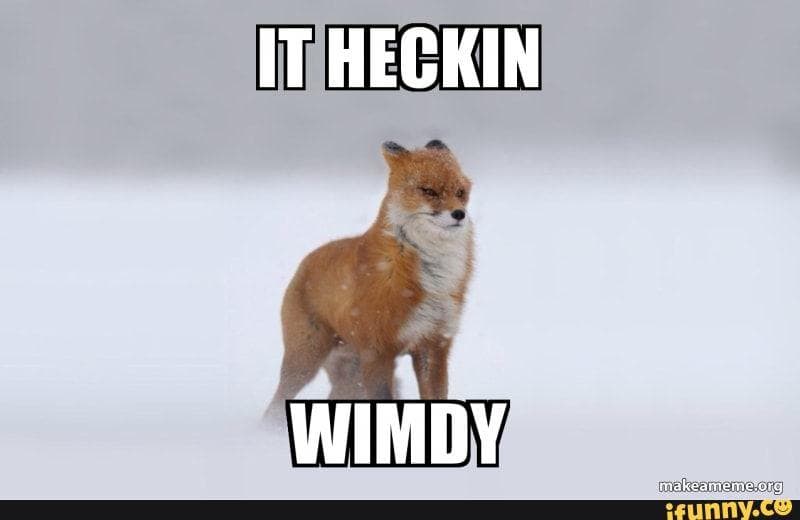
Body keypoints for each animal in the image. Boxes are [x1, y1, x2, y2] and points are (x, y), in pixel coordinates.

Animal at [264, 139, 474, 423]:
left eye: (460, 192)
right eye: (429, 191)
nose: (459, 214)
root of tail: (304, 263)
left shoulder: (433, 344)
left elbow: (437, 398)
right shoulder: (378, 351)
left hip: (350, 375)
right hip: (305, 361)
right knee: (274, 406)